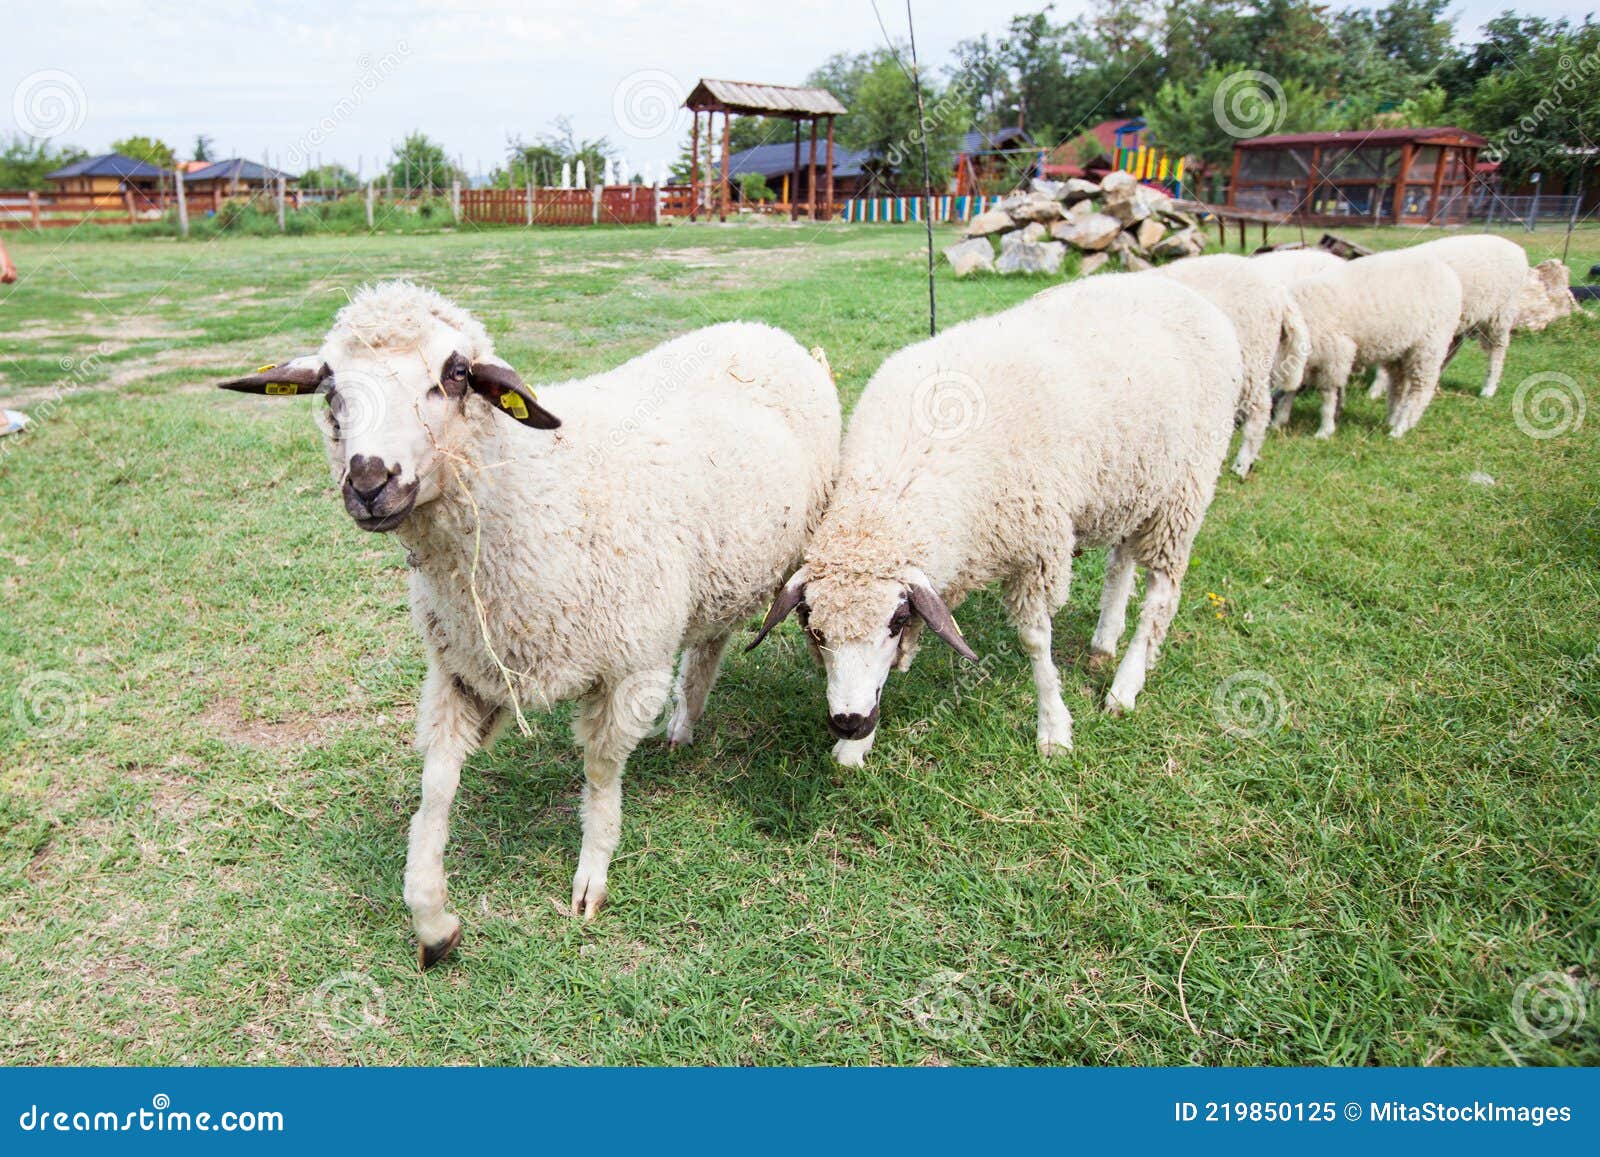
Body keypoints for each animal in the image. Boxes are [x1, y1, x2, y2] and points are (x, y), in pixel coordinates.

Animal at [218, 281, 840, 964]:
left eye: (455, 374)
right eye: (330, 387)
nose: (369, 481)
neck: (535, 494)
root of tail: (763, 330)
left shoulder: (630, 668)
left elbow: (600, 775)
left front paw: (591, 879)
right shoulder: (465, 669)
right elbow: (436, 788)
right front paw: (434, 923)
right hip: (721, 570)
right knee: (711, 640)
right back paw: (684, 724)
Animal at [748, 273, 1242, 766]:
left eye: (895, 621)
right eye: (814, 628)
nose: (849, 721)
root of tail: (1175, 287)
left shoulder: (1036, 549)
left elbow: (1036, 643)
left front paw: (1053, 729)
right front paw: (855, 749)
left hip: (1183, 492)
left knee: (1161, 594)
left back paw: (1125, 685)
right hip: (1133, 485)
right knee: (1121, 562)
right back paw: (1104, 642)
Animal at [1273, 249, 1462, 439]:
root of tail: (1447, 272)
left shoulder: (1335, 355)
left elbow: (1328, 394)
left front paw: (1324, 430)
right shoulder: (1305, 359)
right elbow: (1291, 390)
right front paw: (1279, 420)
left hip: (1430, 344)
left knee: (1421, 388)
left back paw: (1399, 428)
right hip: (1400, 350)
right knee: (1399, 384)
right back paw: (1393, 418)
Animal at [1366, 234, 1530, 402]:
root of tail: (1517, 249)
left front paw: (1373, 393)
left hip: (1500, 313)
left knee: (1498, 350)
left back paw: (1488, 389)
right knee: (1452, 348)